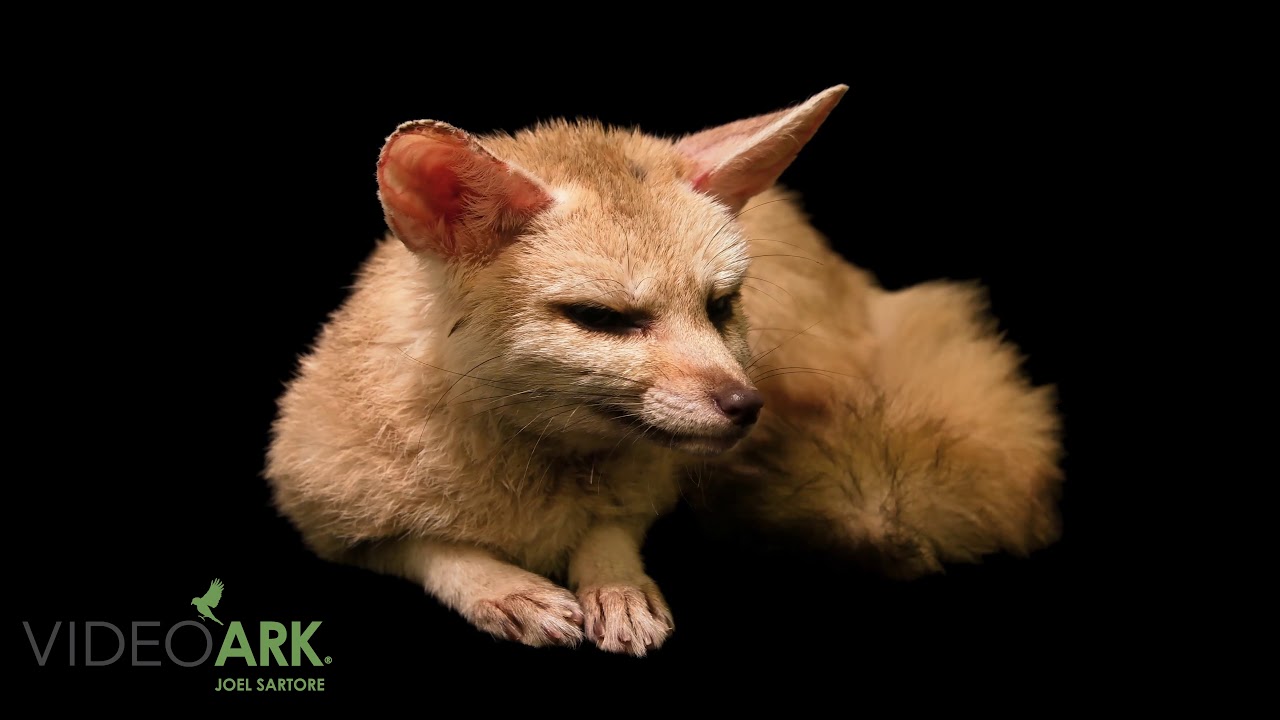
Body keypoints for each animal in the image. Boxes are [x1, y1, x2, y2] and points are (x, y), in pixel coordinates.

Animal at [266, 85, 1063, 656]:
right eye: (603, 318)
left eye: (721, 305)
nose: (746, 406)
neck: (535, 476)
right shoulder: (322, 515)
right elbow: (433, 547)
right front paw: (502, 587)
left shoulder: (658, 484)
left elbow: (612, 528)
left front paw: (616, 584)